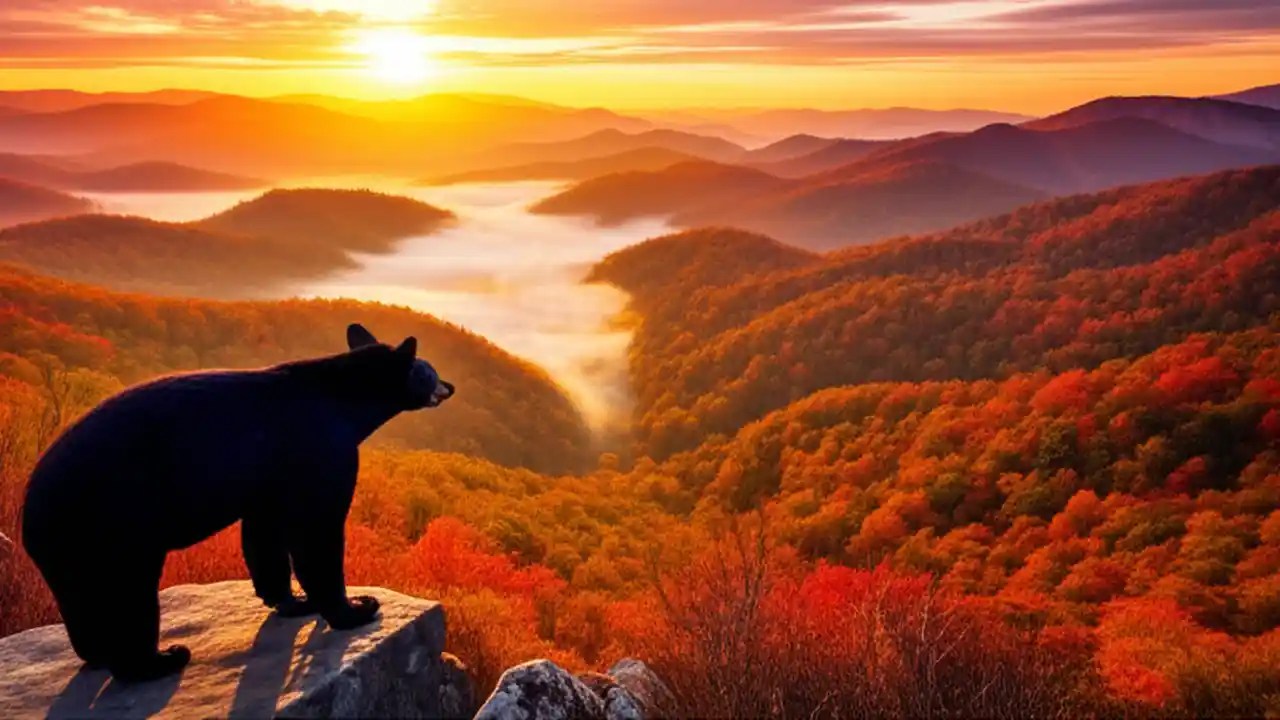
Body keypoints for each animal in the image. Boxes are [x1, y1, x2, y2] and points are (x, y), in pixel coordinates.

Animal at [21, 323, 455, 683]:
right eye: (429, 371)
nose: (449, 386)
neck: (345, 402)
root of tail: (30, 513)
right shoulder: (321, 452)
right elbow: (318, 533)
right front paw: (355, 607)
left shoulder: (269, 480)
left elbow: (264, 534)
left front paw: (292, 601)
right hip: (117, 524)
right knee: (130, 598)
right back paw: (160, 660)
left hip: (72, 554)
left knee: (82, 605)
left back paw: (97, 655)